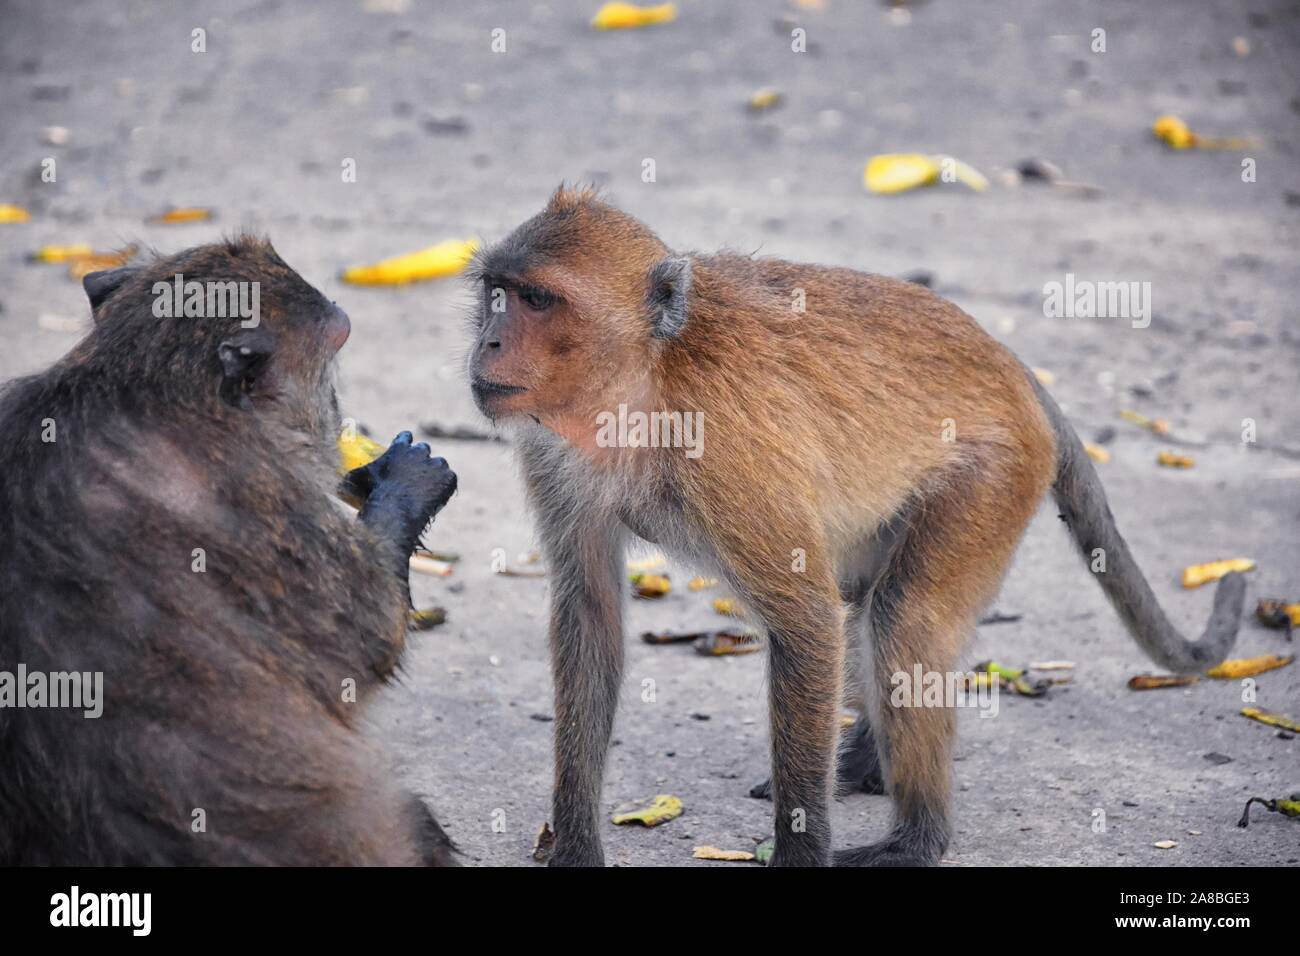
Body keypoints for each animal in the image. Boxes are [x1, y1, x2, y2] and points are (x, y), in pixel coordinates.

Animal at [466, 187, 1246, 867]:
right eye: (496, 292)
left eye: (539, 300)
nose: (490, 343)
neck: (645, 381)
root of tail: (1008, 364)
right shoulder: (555, 453)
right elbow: (591, 615)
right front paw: (574, 844)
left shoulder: (727, 451)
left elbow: (807, 621)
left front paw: (800, 854)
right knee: (867, 602)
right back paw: (869, 761)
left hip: (994, 474)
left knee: (905, 617)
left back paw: (918, 838)